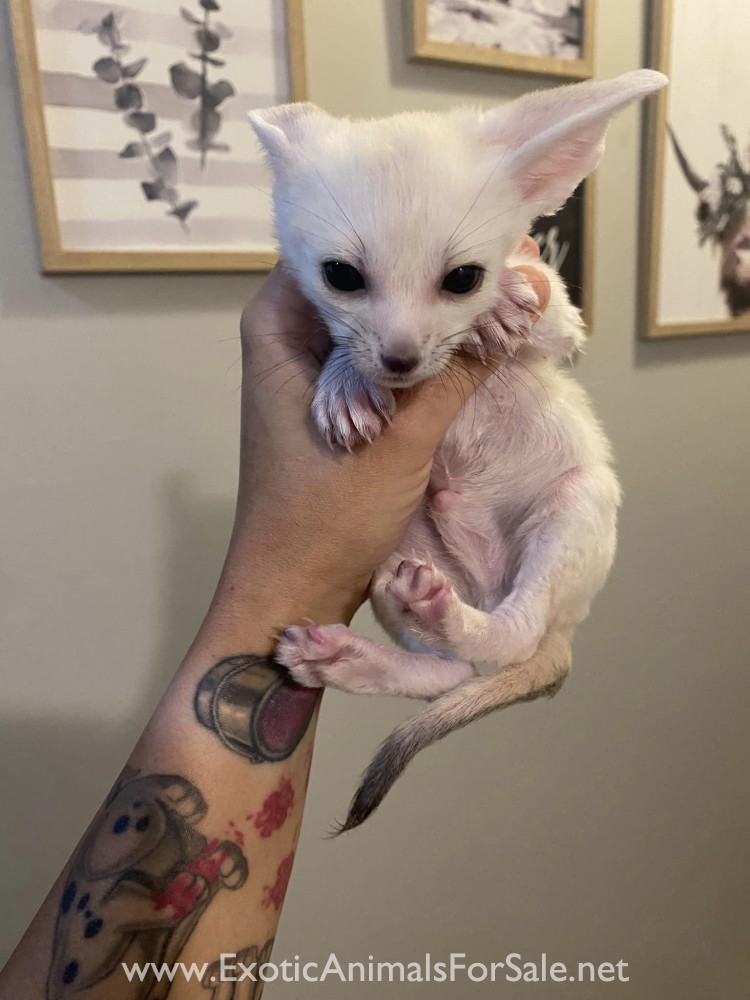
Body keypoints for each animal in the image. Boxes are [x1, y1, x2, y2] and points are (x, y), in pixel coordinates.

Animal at [249, 70, 668, 832]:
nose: (399, 360)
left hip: (576, 504)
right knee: (452, 673)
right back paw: (358, 656)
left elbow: (544, 305)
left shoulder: (564, 321)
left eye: (464, 278)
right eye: (341, 276)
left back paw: (452, 619)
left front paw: (502, 305)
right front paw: (345, 381)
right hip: (389, 555)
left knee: (513, 636)